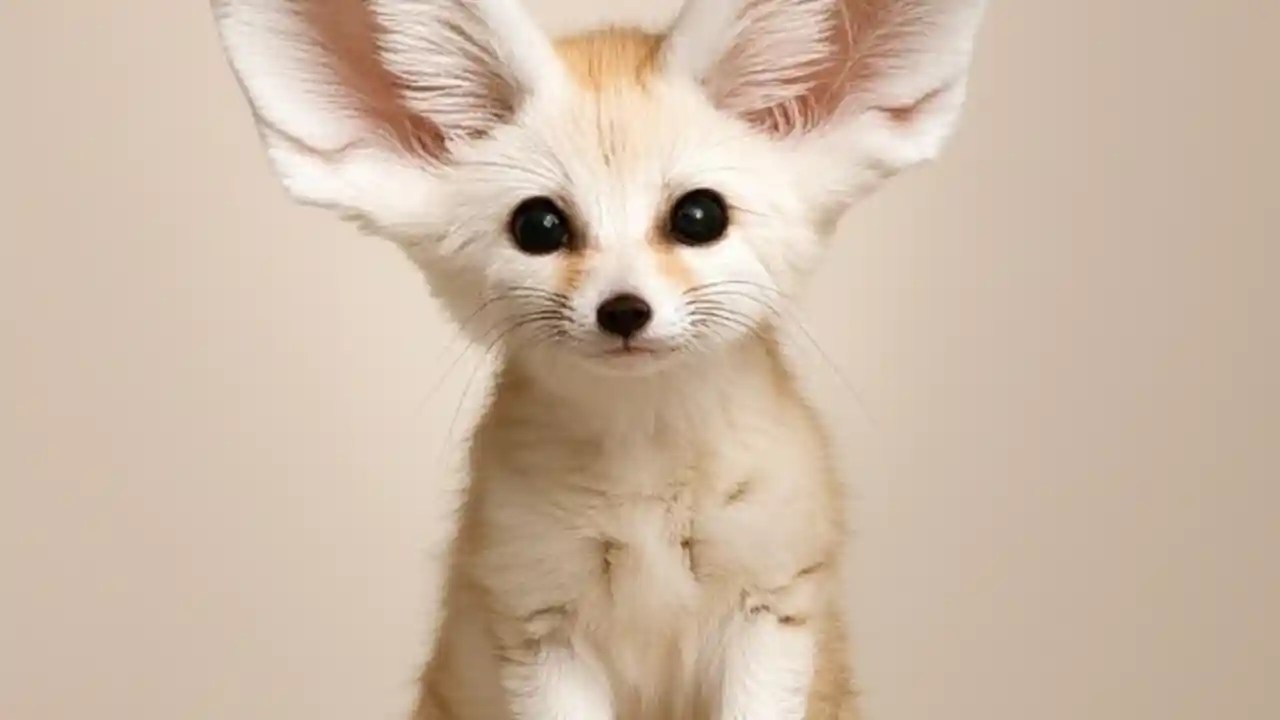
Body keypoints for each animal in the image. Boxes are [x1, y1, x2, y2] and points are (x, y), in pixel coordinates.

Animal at [211, 0, 987, 717]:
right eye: (539, 226)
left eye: (698, 216)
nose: (623, 310)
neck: (647, 481)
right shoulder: (540, 627)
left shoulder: (771, 610)